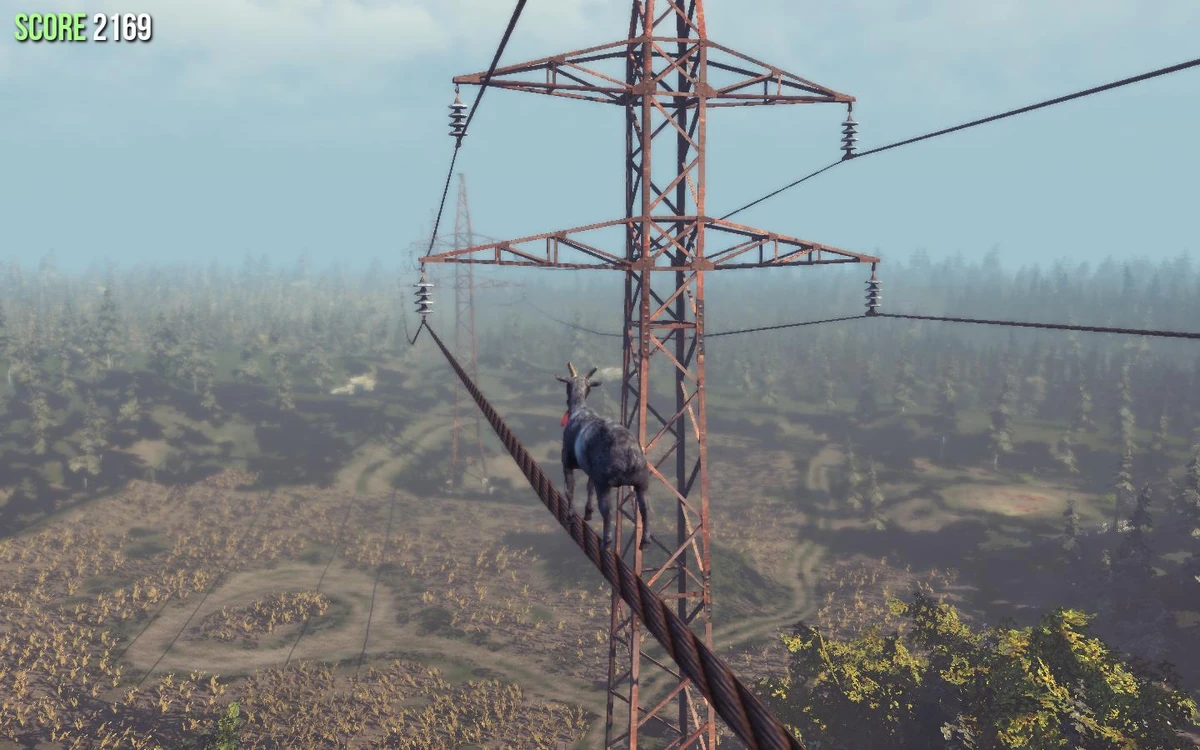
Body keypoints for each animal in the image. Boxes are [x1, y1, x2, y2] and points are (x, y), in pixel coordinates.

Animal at [557, 362, 651, 550]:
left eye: (567, 384)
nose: (567, 400)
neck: (580, 410)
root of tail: (629, 454)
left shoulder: (568, 462)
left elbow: (569, 489)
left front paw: (571, 515)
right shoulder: (592, 470)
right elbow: (588, 487)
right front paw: (588, 512)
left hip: (605, 481)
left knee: (607, 510)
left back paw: (606, 541)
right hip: (641, 480)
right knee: (644, 508)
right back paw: (645, 540)